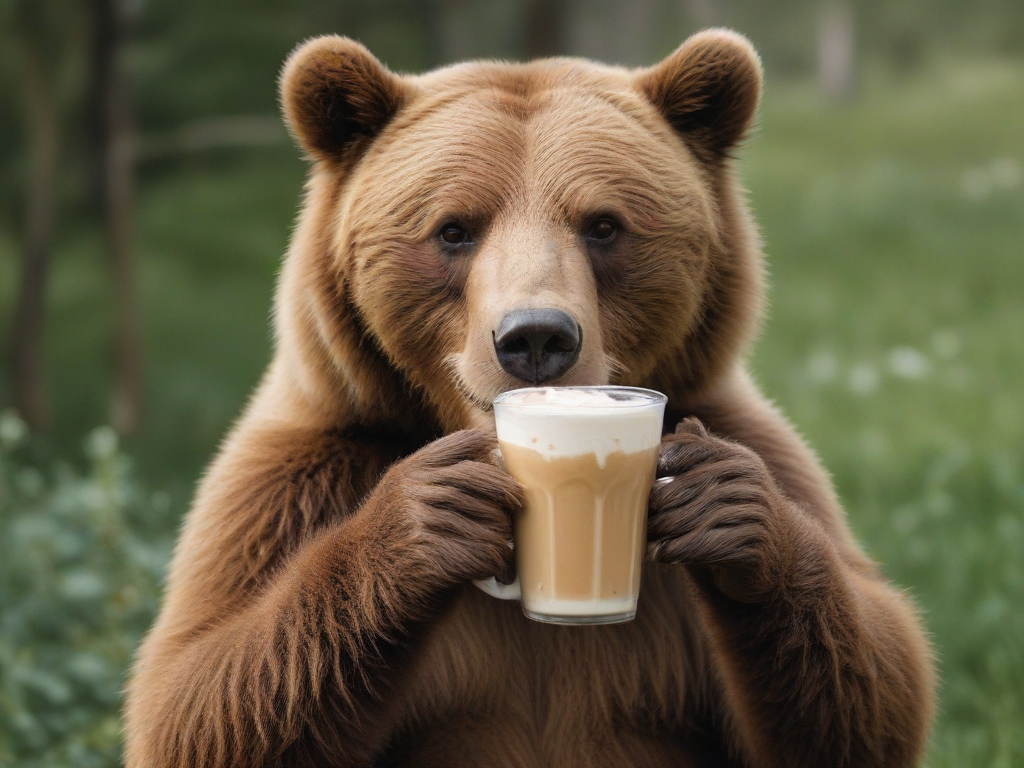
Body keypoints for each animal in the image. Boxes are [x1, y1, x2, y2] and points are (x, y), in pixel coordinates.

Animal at [123, 29, 935, 767]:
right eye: (454, 229)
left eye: (604, 224)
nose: (536, 336)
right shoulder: (308, 474)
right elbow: (198, 695)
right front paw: (430, 517)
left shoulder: (743, 442)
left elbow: (871, 691)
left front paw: (725, 505)